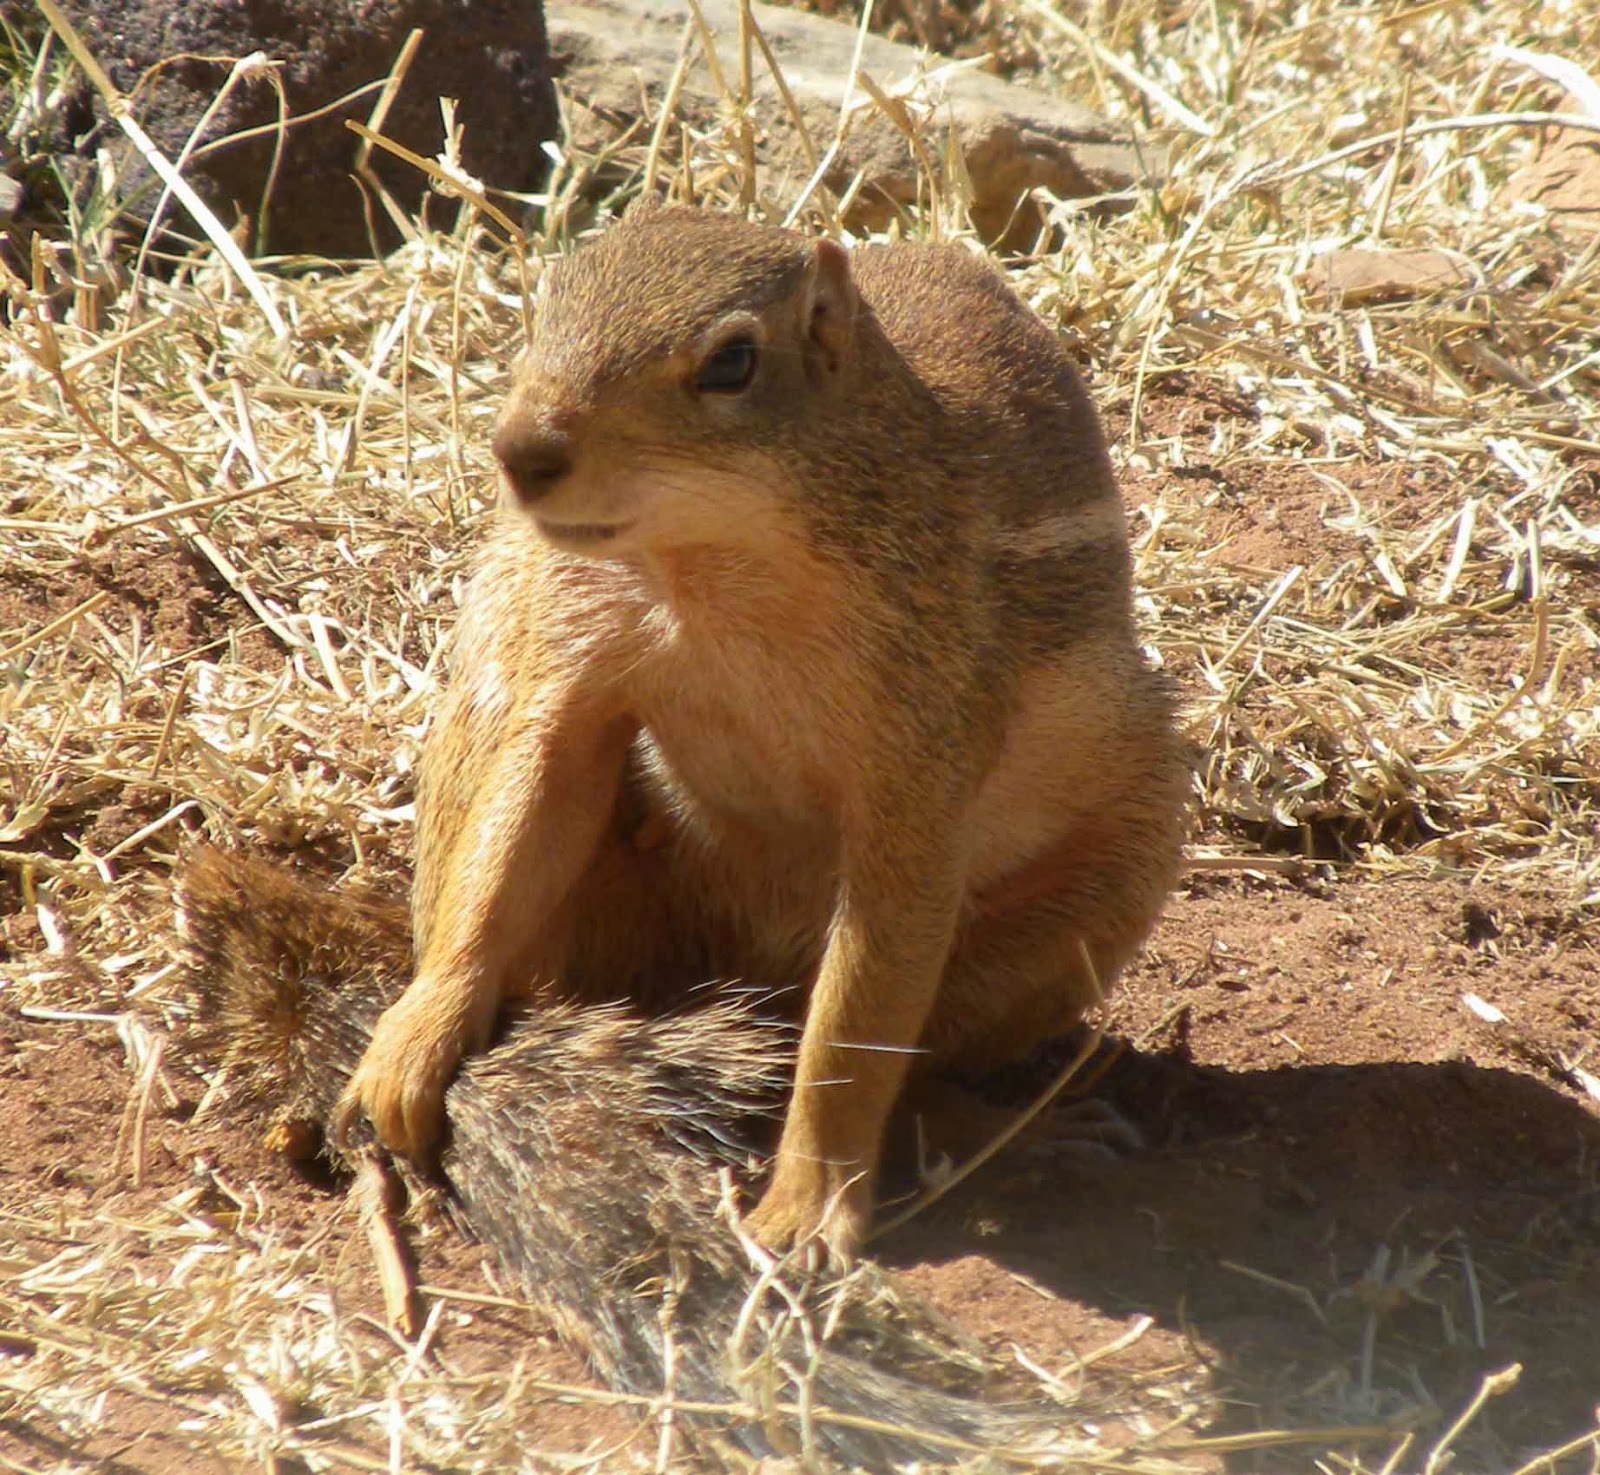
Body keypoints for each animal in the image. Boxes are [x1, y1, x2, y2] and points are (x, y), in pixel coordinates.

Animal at [330, 204, 1191, 1262]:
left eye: (732, 362)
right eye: (543, 305)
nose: (522, 450)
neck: (710, 574)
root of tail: (744, 961)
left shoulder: (921, 759)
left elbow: (858, 1014)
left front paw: (805, 1212)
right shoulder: (569, 671)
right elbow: (508, 853)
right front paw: (410, 1046)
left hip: (1098, 887)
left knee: (904, 1051)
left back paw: (1015, 1131)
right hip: (493, 689)